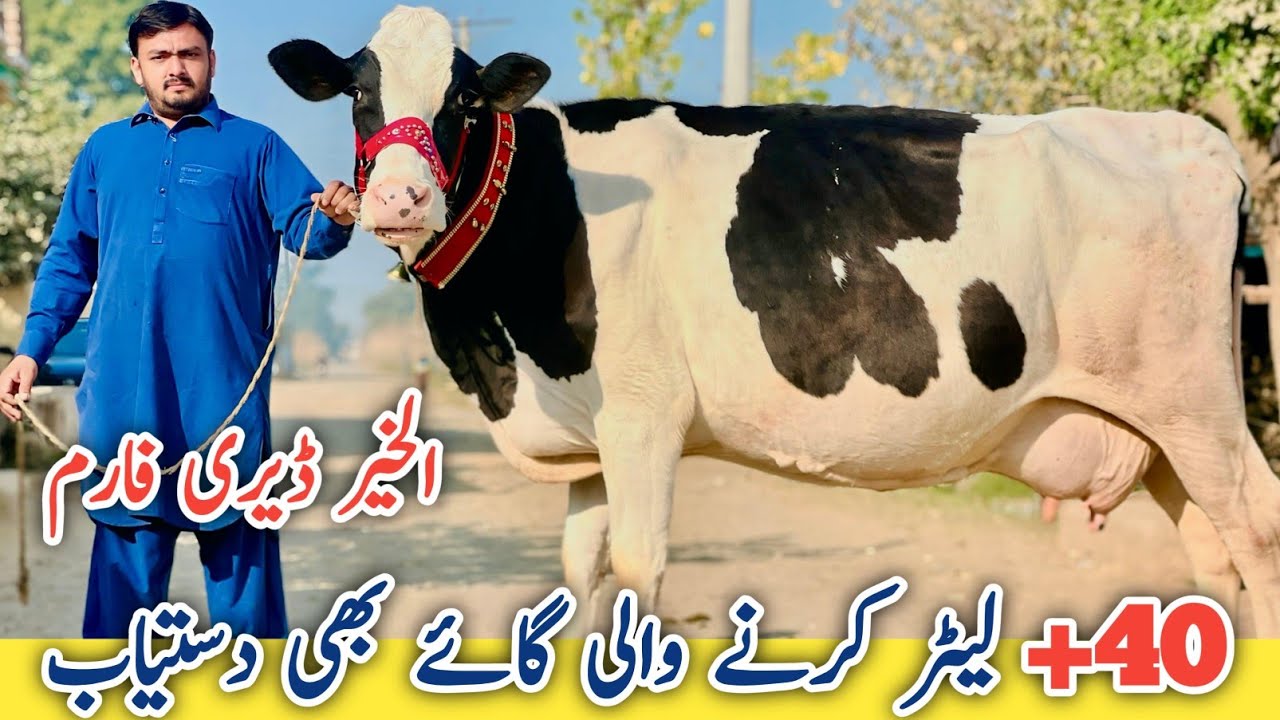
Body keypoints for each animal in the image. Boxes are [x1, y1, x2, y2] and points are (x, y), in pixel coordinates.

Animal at [268, 5, 1280, 635]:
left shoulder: (642, 416)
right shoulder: (588, 438)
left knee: (1258, 534)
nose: (399, 198)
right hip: (1161, 431)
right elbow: (581, 571)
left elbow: (636, 569)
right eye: (360, 95)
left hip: (1198, 407)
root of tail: (1182, 132)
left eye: (465, 99)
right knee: (1213, 557)